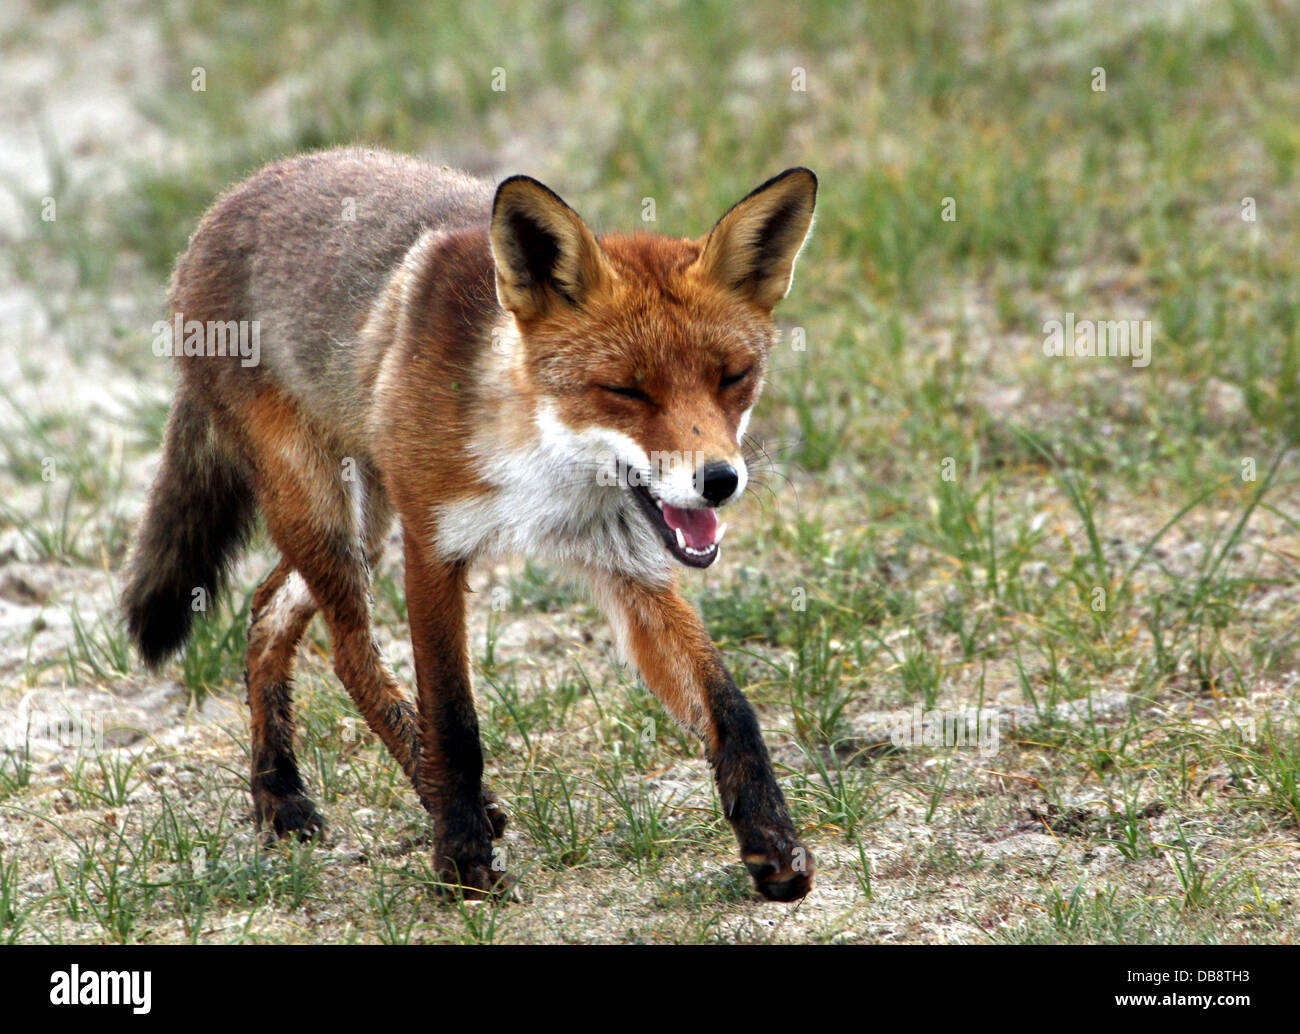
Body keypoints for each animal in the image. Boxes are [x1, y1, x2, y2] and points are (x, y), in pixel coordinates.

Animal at [122, 147, 818, 901]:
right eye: (626, 390)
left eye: (733, 377)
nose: (719, 481)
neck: (542, 467)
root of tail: (232, 198)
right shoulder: (434, 545)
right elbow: (454, 720)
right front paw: (461, 860)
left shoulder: (627, 566)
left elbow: (730, 704)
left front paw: (772, 840)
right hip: (324, 509)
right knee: (349, 656)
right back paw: (372, 797)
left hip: (362, 522)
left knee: (268, 609)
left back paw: (278, 794)